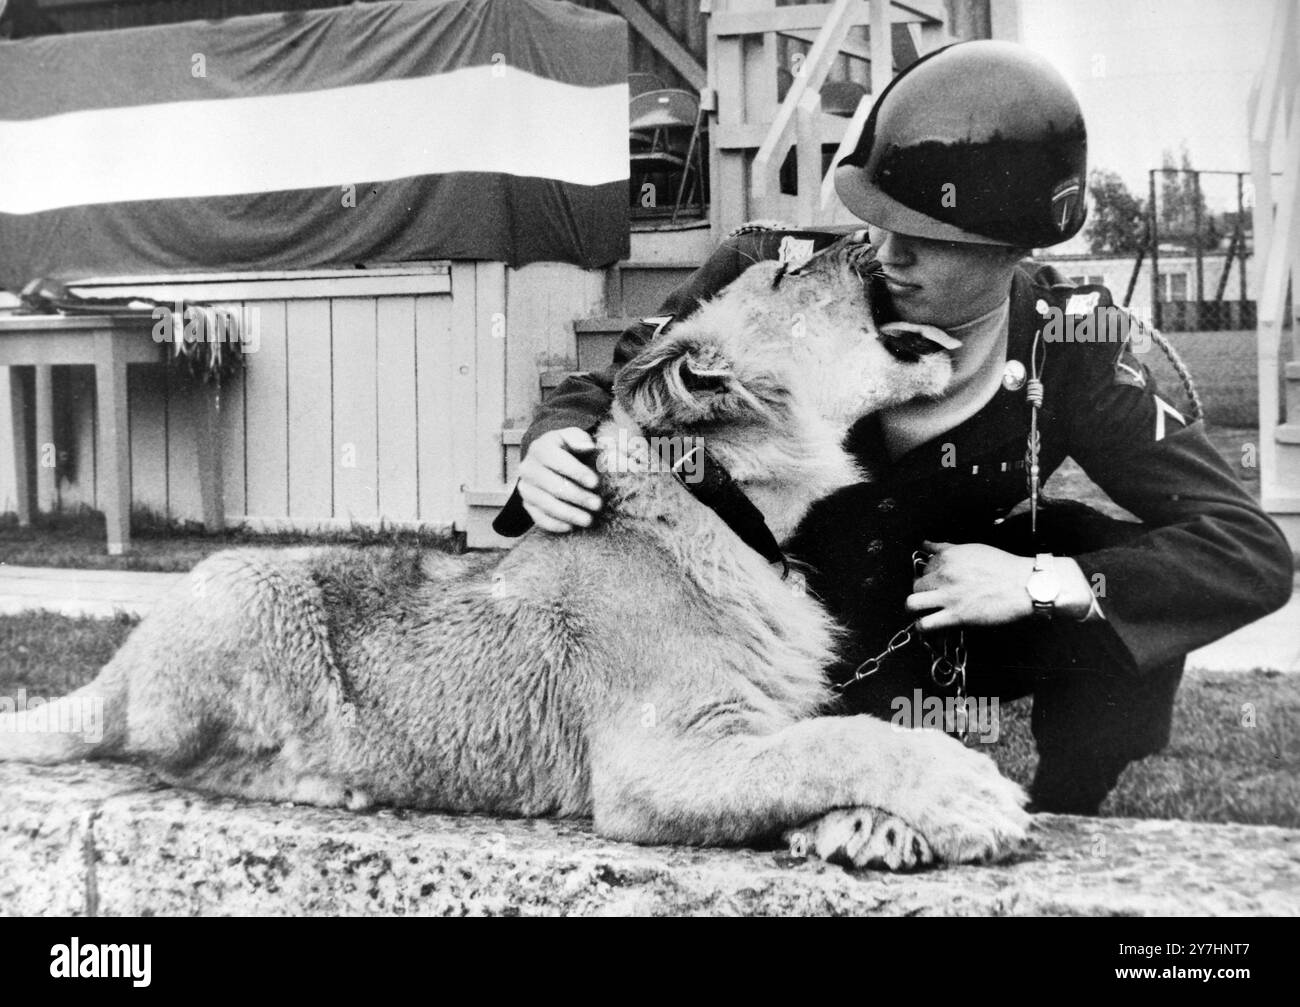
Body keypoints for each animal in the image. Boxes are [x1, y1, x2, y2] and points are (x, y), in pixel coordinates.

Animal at [0, 233, 1029, 872]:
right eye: (786, 273)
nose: (860, 236)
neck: (739, 513)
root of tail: (119, 664)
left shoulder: (749, 723)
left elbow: (822, 738)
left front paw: (866, 828)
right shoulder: (650, 765)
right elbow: (835, 739)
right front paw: (969, 792)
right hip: (247, 592)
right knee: (176, 759)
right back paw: (337, 783)